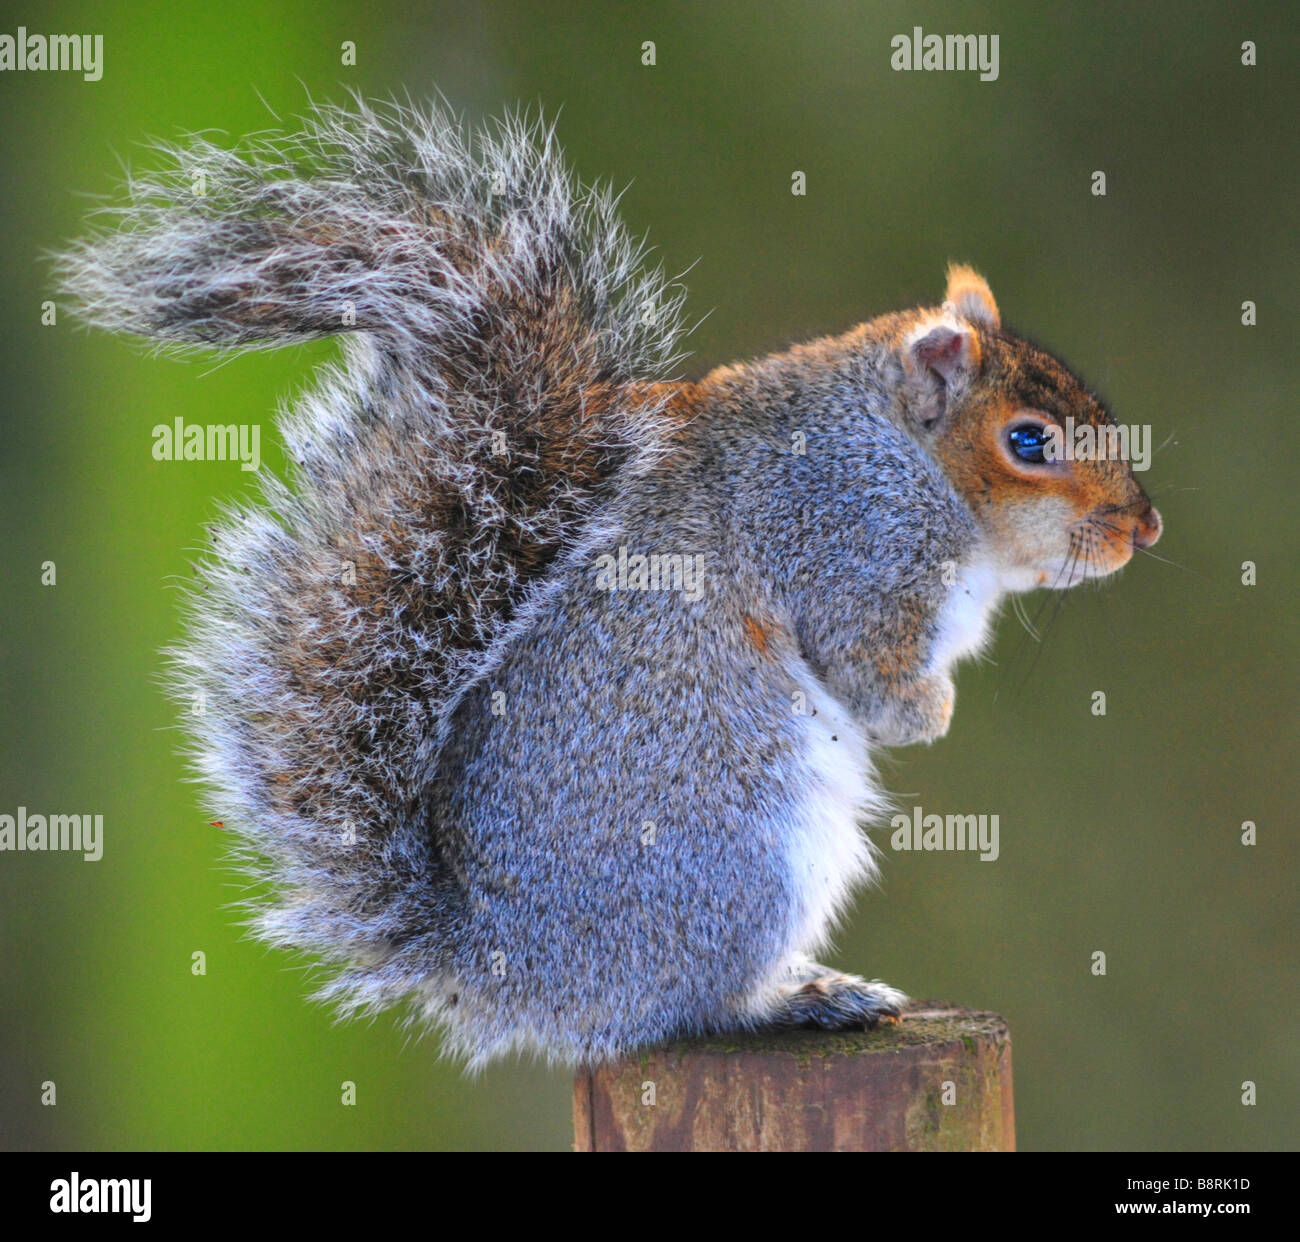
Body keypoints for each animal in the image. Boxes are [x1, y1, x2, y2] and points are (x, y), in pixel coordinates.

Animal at [57, 98, 1162, 1067]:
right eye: (1028, 442)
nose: (1143, 530)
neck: (905, 457)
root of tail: (507, 968)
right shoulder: (849, 547)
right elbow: (867, 674)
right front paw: (928, 714)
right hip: (746, 855)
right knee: (694, 1005)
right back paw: (803, 996)